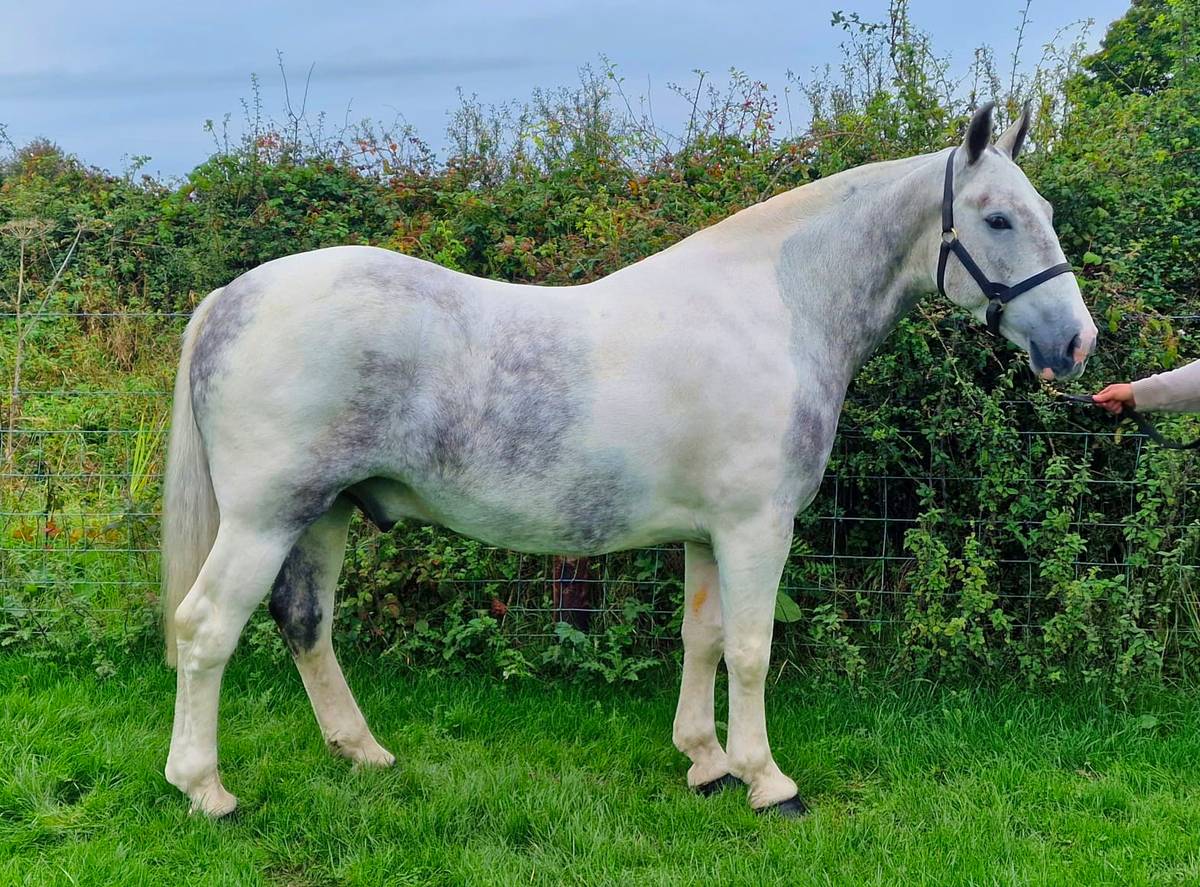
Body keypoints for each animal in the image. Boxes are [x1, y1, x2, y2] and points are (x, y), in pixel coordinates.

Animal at [161, 103, 1097, 817]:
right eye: (998, 217)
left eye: (1045, 209)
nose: (1077, 342)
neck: (776, 308)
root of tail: (232, 297)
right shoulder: (756, 527)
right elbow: (750, 647)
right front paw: (768, 780)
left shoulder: (706, 533)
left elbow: (703, 638)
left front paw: (707, 762)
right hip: (266, 517)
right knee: (206, 627)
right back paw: (205, 788)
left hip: (324, 513)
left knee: (306, 624)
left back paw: (362, 752)